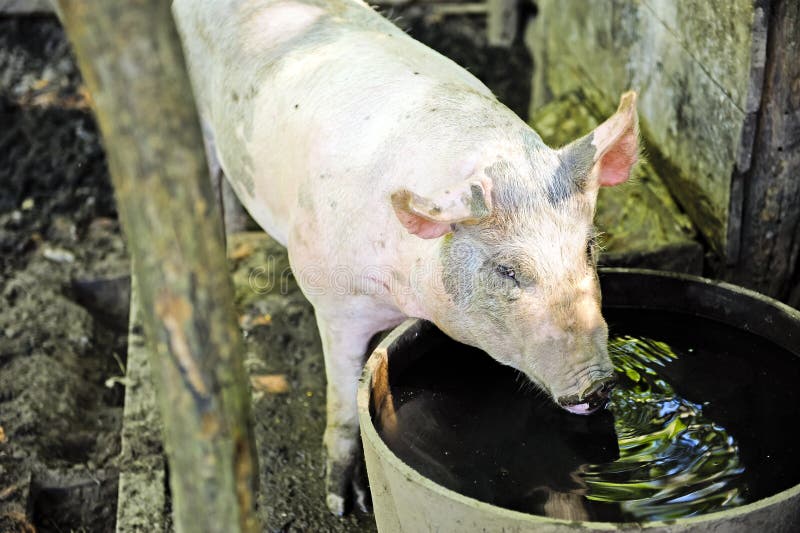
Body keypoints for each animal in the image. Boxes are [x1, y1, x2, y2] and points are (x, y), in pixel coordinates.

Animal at [172, 0, 639, 515]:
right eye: (507, 270)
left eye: (587, 248)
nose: (598, 383)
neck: (404, 295)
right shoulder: (331, 299)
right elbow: (342, 401)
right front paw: (345, 504)